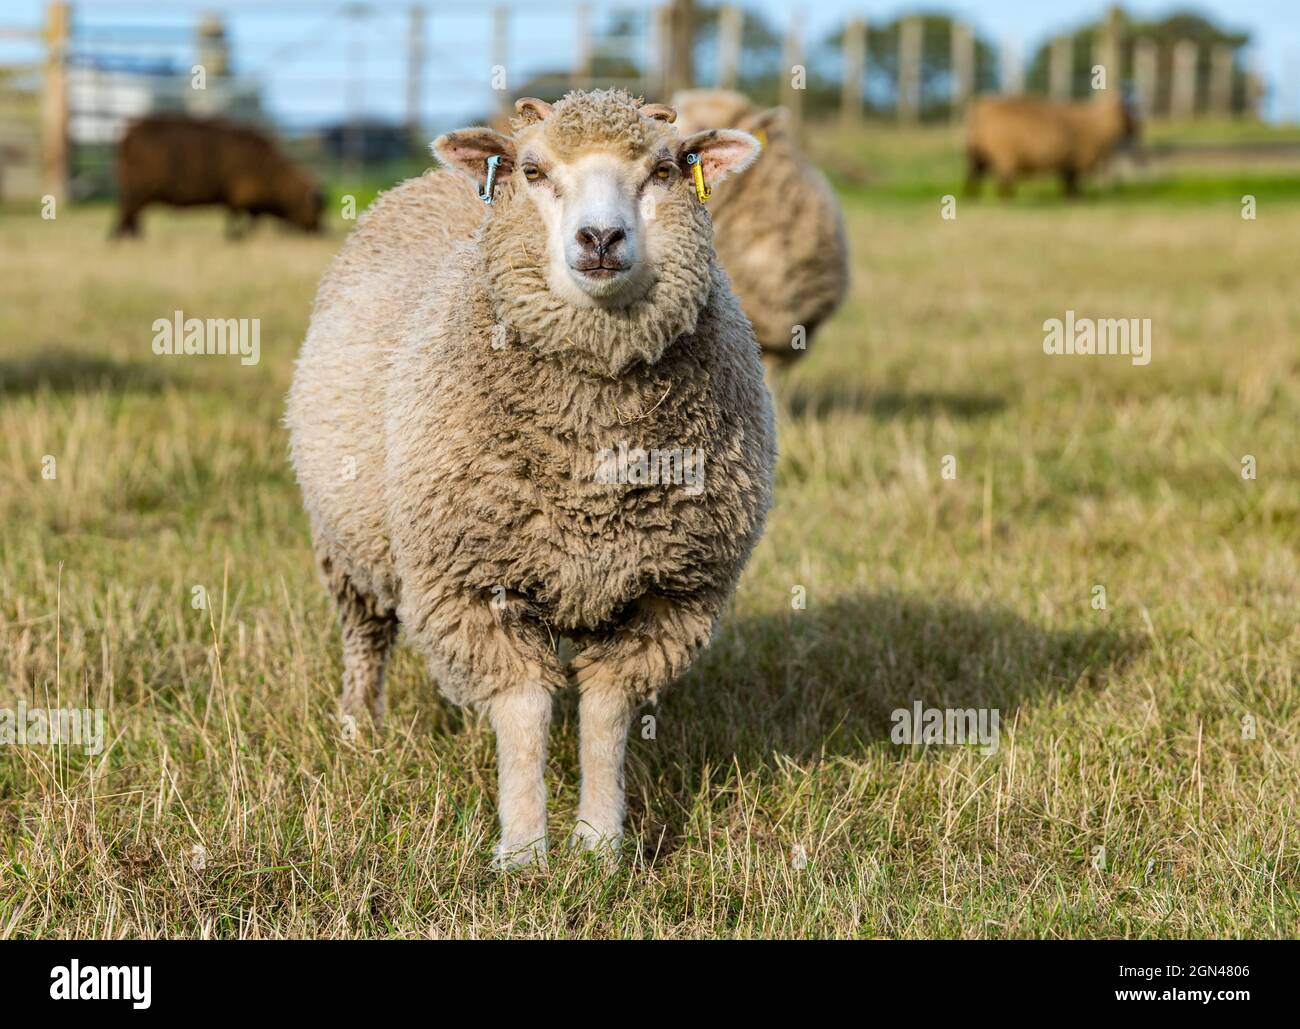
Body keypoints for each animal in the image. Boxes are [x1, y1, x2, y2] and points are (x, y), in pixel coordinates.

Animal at [113, 115, 323, 238]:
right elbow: (240, 221)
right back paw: (120, 237)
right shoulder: (240, 196)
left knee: (132, 216)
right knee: (127, 214)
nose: (320, 232)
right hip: (138, 188)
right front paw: (235, 237)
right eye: (315, 210)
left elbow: (249, 221)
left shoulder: (245, 200)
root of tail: (128, 135)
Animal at [286, 89, 775, 867]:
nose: (600, 238)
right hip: (349, 545)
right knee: (366, 640)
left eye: (663, 170)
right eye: (536, 172)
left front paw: (600, 845)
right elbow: (523, 712)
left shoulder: (668, 593)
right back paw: (359, 732)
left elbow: (604, 714)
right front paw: (522, 851)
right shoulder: (471, 583)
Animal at [965, 91, 1139, 198]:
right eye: (1127, 111)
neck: (1098, 124)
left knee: (974, 177)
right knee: (1002, 181)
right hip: (1003, 155)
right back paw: (1006, 199)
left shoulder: (1068, 161)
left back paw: (972, 198)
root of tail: (982, 106)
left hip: (978, 153)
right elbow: (1073, 183)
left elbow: (1068, 182)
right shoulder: (1075, 160)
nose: (1137, 127)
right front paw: (1076, 199)